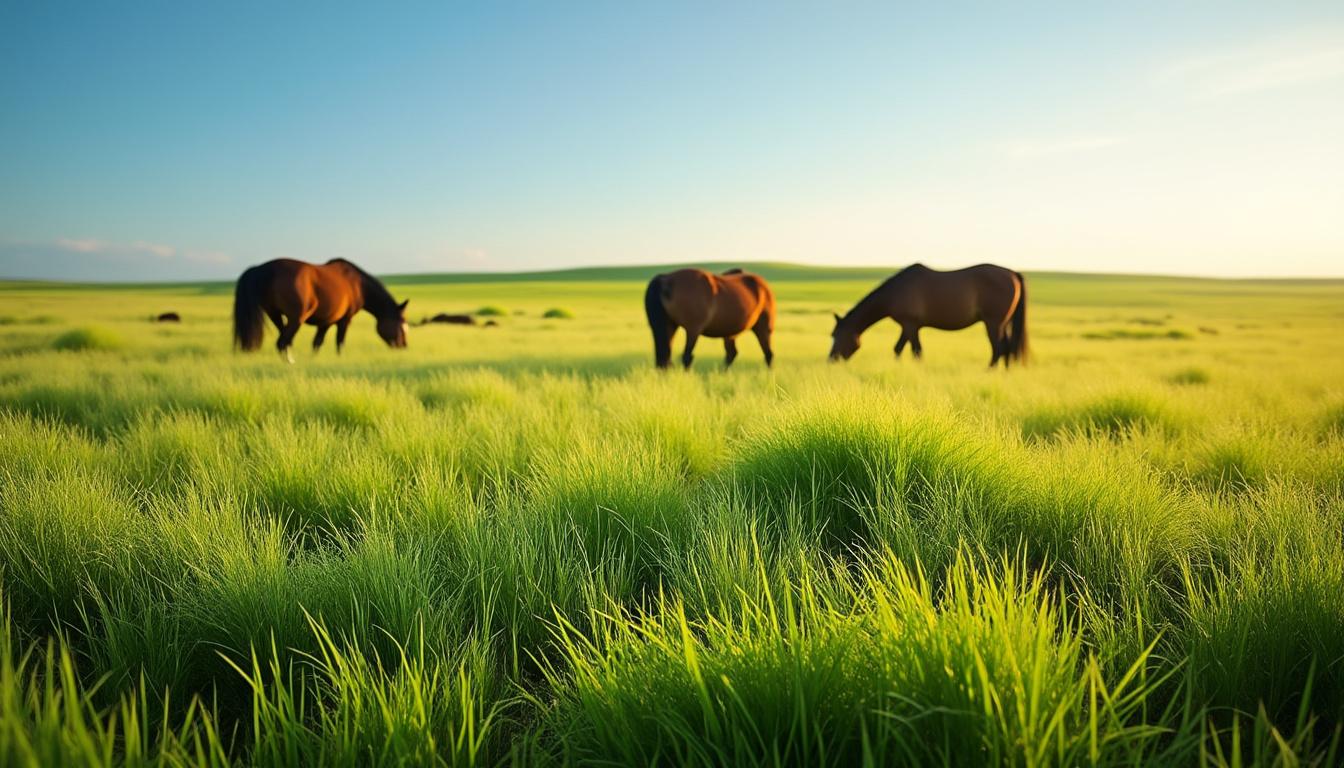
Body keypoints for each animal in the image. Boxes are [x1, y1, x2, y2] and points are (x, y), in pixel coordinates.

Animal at [233, 258, 409, 361]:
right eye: (401, 326)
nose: (404, 346)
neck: (358, 285)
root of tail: (263, 268)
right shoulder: (345, 320)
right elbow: (340, 342)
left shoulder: (326, 322)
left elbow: (317, 343)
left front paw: (313, 360)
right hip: (295, 319)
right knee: (282, 342)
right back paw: (291, 363)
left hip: (275, 315)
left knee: (284, 341)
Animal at [644, 268, 775, 369]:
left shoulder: (692, 329)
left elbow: (685, 357)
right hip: (728, 332)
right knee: (732, 354)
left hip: (763, 328)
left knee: (768, 354)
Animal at [829, 263, 1027, 367]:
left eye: (836, 335)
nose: (831, 359)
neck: (896, 292)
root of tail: (1012, 273)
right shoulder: (908, 326)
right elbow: (898, 348)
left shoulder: (911, 325)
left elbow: (916, 350)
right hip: (1003, 323)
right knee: (1007, 347)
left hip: (993, 323)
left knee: (999, 348)